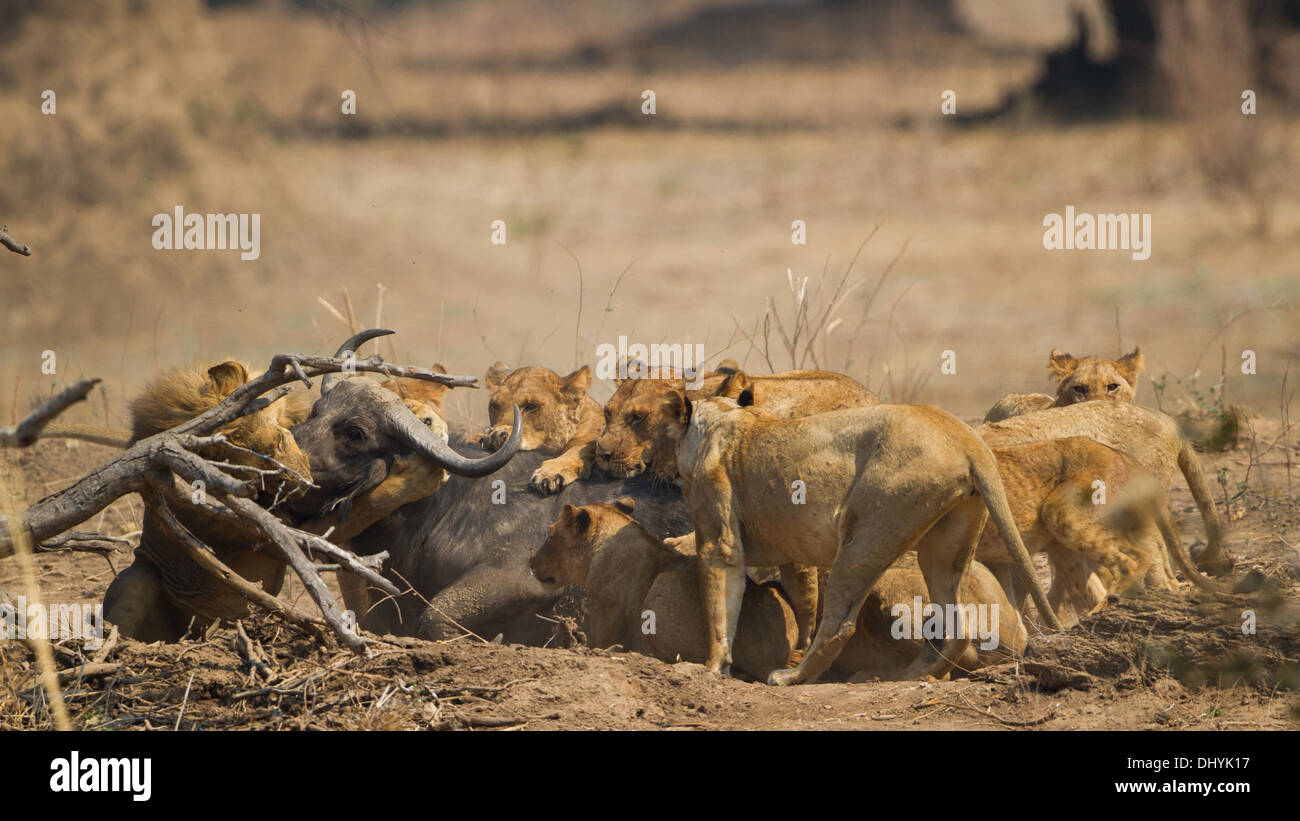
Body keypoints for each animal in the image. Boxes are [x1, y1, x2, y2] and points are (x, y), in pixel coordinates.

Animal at [669, 394, 1060, 685]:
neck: (727, 418)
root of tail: (967, 438)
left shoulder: (719, 541)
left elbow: (720, 609)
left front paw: (711, 669)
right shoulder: (792, 554)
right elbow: (802, 598)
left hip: (865, 533)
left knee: (840, 624)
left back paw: (793, 677)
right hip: (946, 543)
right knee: (956, 625)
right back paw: (910, 675)